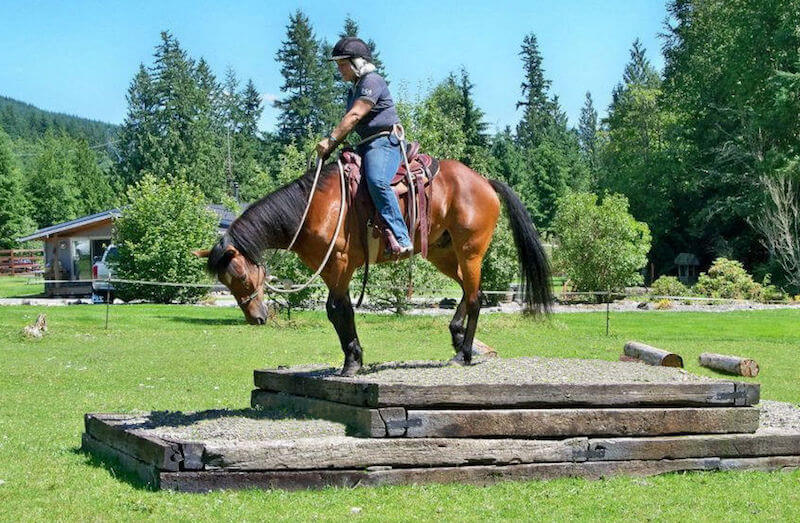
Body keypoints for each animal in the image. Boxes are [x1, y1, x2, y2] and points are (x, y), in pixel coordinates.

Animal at [195, 157, 552, 376]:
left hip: (470, 251)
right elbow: (338, 311)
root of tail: (486, 182)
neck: (313, 209)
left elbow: (337, 309)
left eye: (240, 274)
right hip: (442, 253)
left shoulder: (340, 265)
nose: (256, 318)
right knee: (468, 289)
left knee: (477, 297)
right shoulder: (330, 269)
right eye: (225, 282)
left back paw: (463, 353)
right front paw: (354, 357)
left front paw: (352, 361)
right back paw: (458, 335)